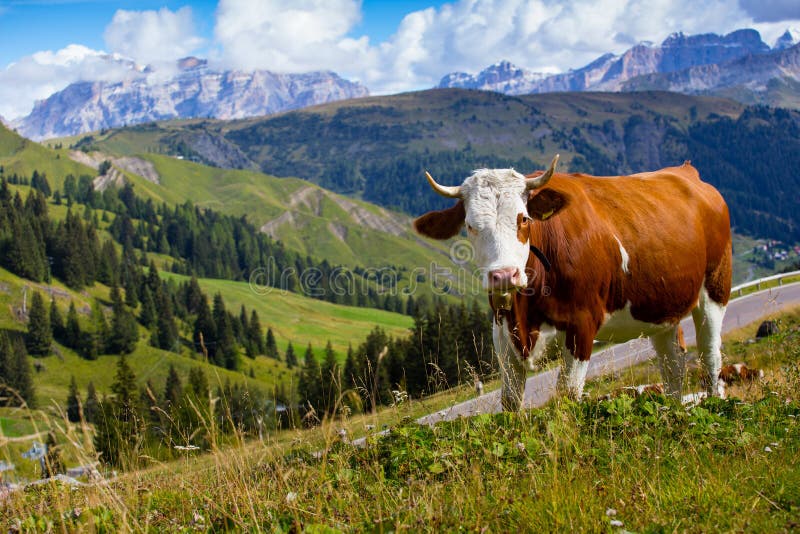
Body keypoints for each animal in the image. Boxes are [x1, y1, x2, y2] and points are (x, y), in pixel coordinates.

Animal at [414, 155, 732, 411]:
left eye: (524, 219)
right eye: (470, 226)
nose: (504, 275)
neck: (525, 312)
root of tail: (687, 172)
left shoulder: (582, 324)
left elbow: (566, 395)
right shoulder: (503, 333)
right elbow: (510, 402)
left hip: (715, 289)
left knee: (710, 357)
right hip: (660, 310)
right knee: (673, 365)